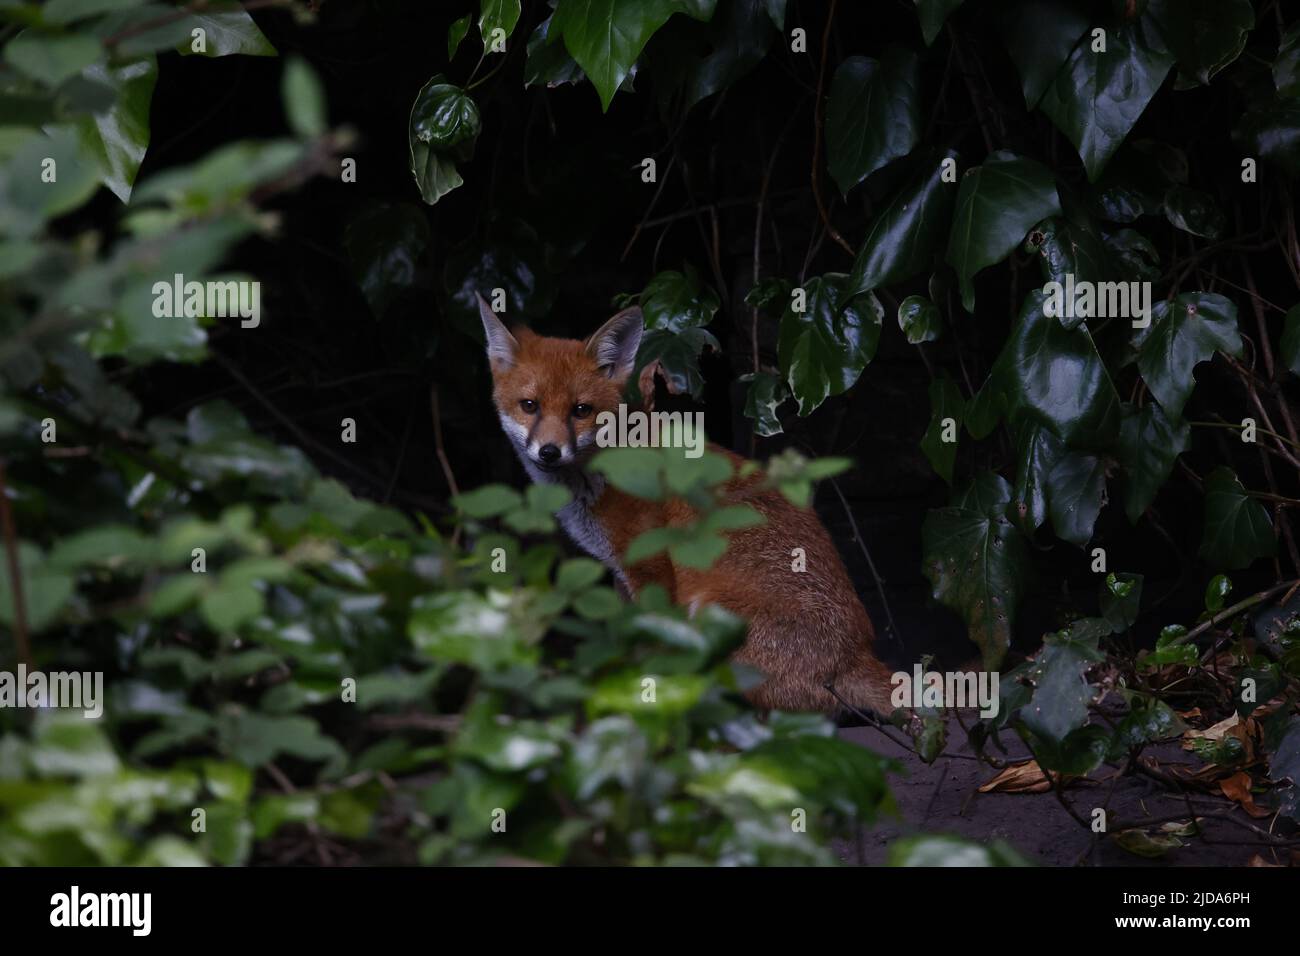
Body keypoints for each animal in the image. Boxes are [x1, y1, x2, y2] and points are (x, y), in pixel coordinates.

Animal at [477, 294, 896, 717]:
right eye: (529, 405)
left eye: (581, 410)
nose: (549, 452)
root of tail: (858, 654)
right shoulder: (620, 574)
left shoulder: (650, 566)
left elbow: (651, 644)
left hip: (711, 614)